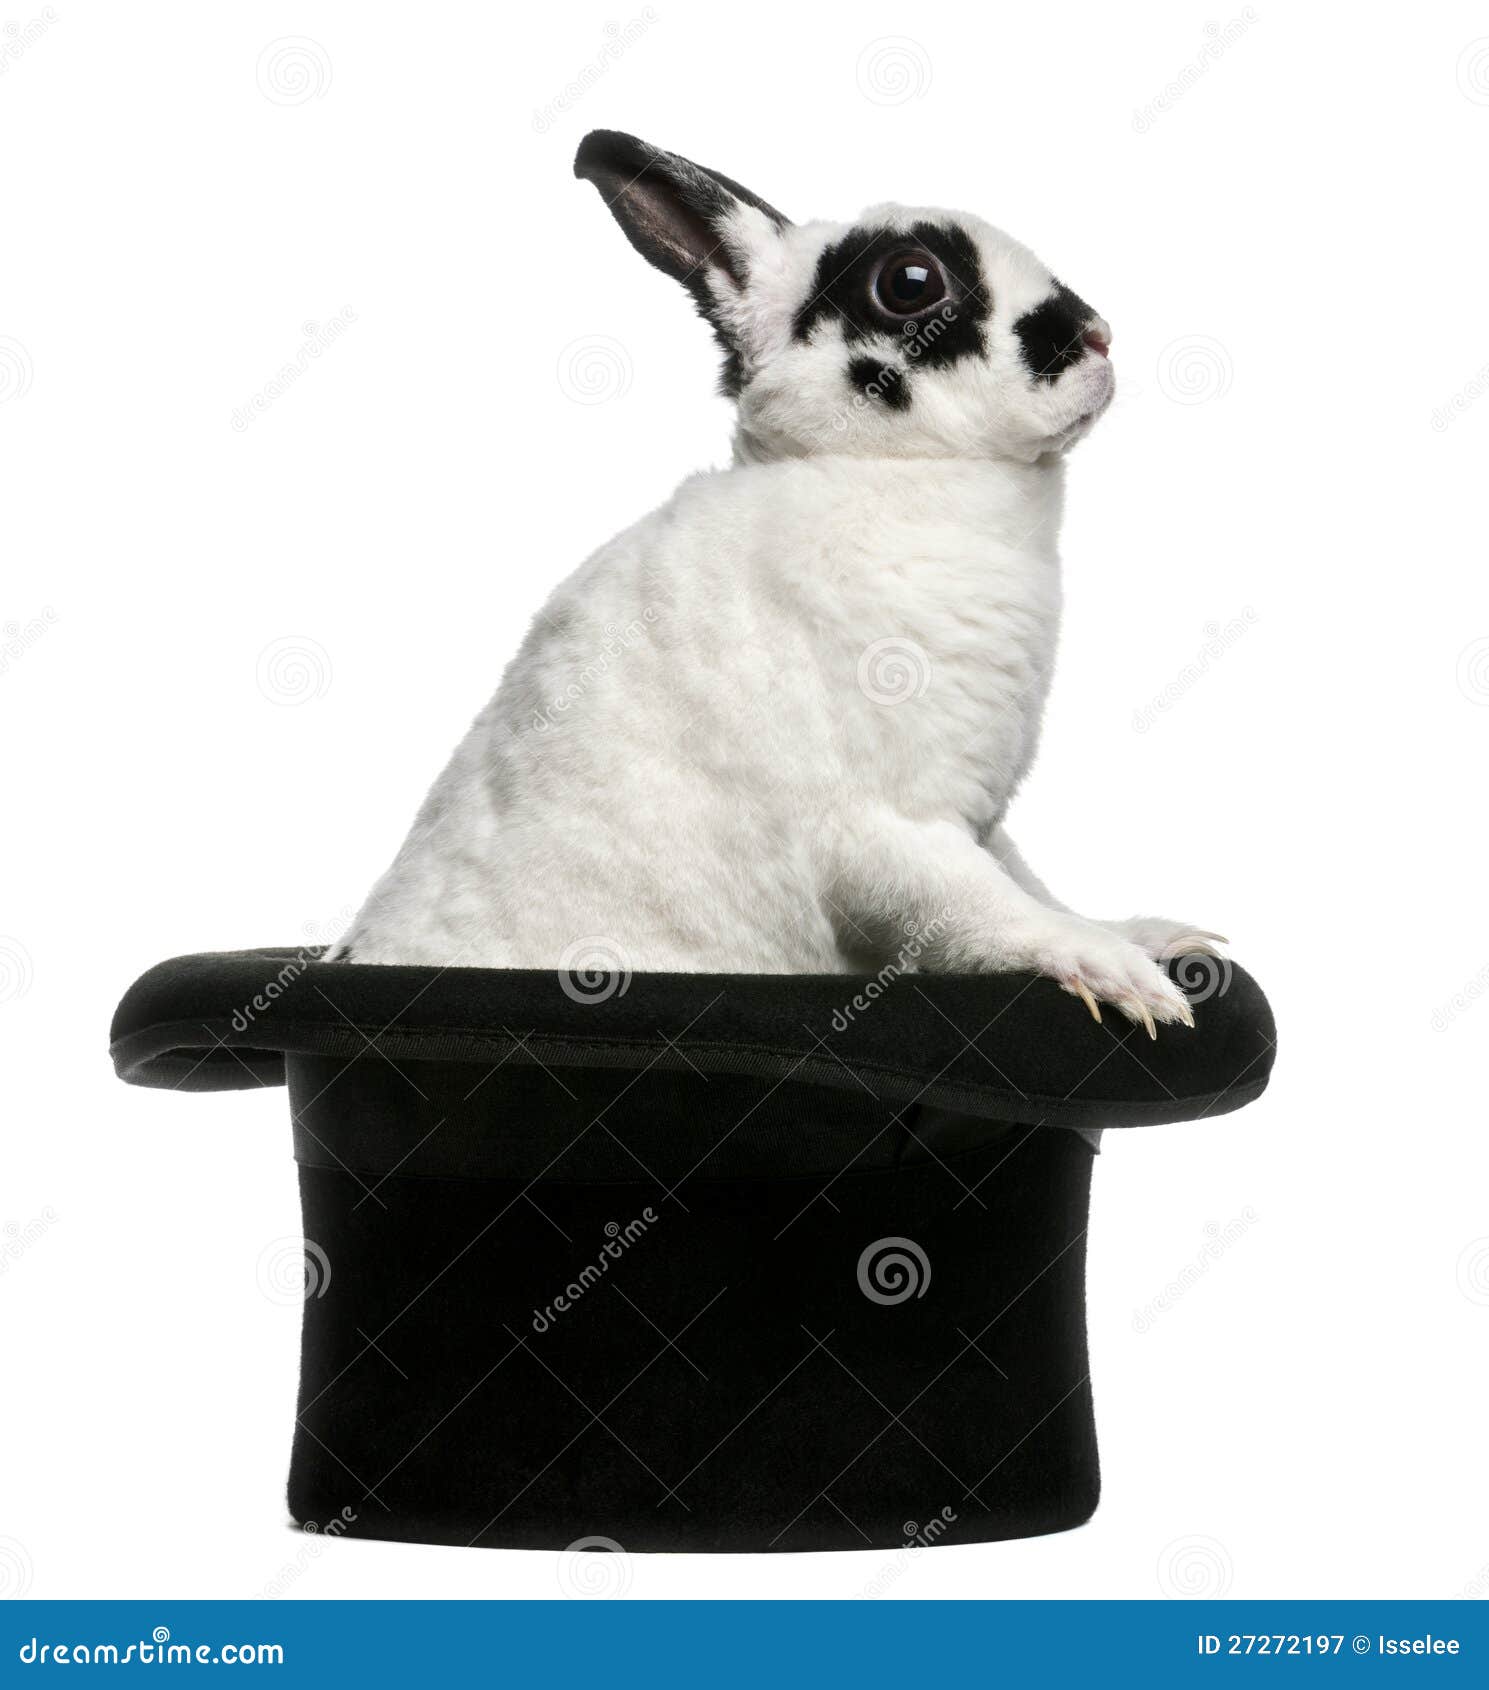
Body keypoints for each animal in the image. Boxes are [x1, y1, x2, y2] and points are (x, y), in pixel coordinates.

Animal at [328, 129, 1224, 1033]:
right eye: (910, 282)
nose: (1099, 338)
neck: (875, 469)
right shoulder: (890, 829)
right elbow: (992, 909)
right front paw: (1122, 979)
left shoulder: (980, 823)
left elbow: (1030, 884)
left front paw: (1156, 939)